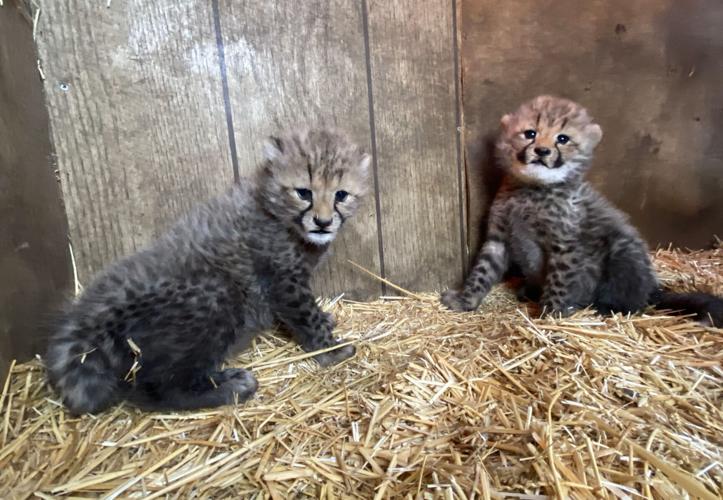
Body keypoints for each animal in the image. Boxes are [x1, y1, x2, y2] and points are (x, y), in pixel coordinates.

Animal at [46, 127, 370, 414]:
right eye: (303, 192)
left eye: (341, 195)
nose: (323, 223)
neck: (273, 209)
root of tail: (92, 311)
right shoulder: (284, 280)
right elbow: (306, 316)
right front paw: (330, 350)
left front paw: (326, 324)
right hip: (214, 298)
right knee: (155, 387)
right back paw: (232, 386)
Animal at [442, 95, 722, 326]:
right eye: (530, 133)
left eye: (562, 138)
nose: (542, 151)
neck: (533, 190)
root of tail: (653, 290)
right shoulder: (498, 239)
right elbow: (482, 272)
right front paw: (465, 300)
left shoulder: (565, 246)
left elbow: (559, 282)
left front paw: (550, 315)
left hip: (623, 253)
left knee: (633, 301)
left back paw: (608, 308)